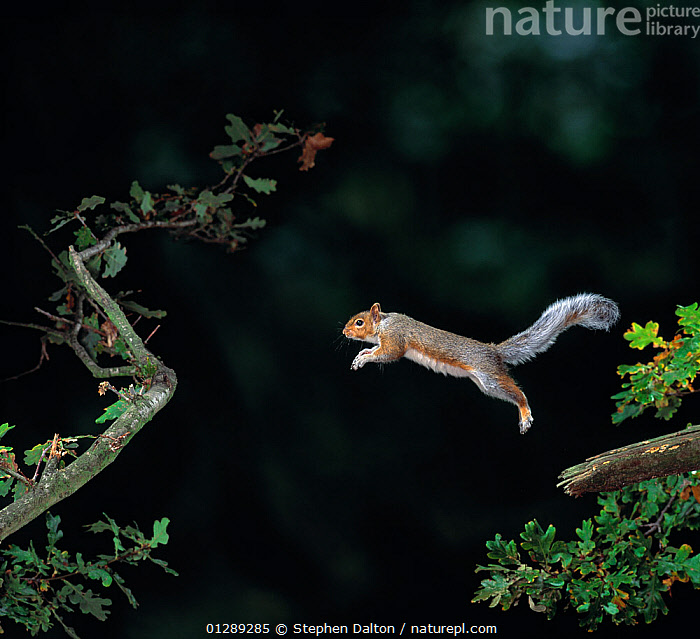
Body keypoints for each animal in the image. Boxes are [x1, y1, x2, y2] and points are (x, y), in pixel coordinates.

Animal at [343, 293, 620, 434]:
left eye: (359, 322)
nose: (344, 332)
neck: (384, 323)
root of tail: (493, 352)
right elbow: (375, 349)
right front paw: (361, 354)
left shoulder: (395, 339)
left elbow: (387, 354)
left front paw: (364, 357)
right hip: (485, 385)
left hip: (490, 377)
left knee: (518, 393)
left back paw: (525, 413)